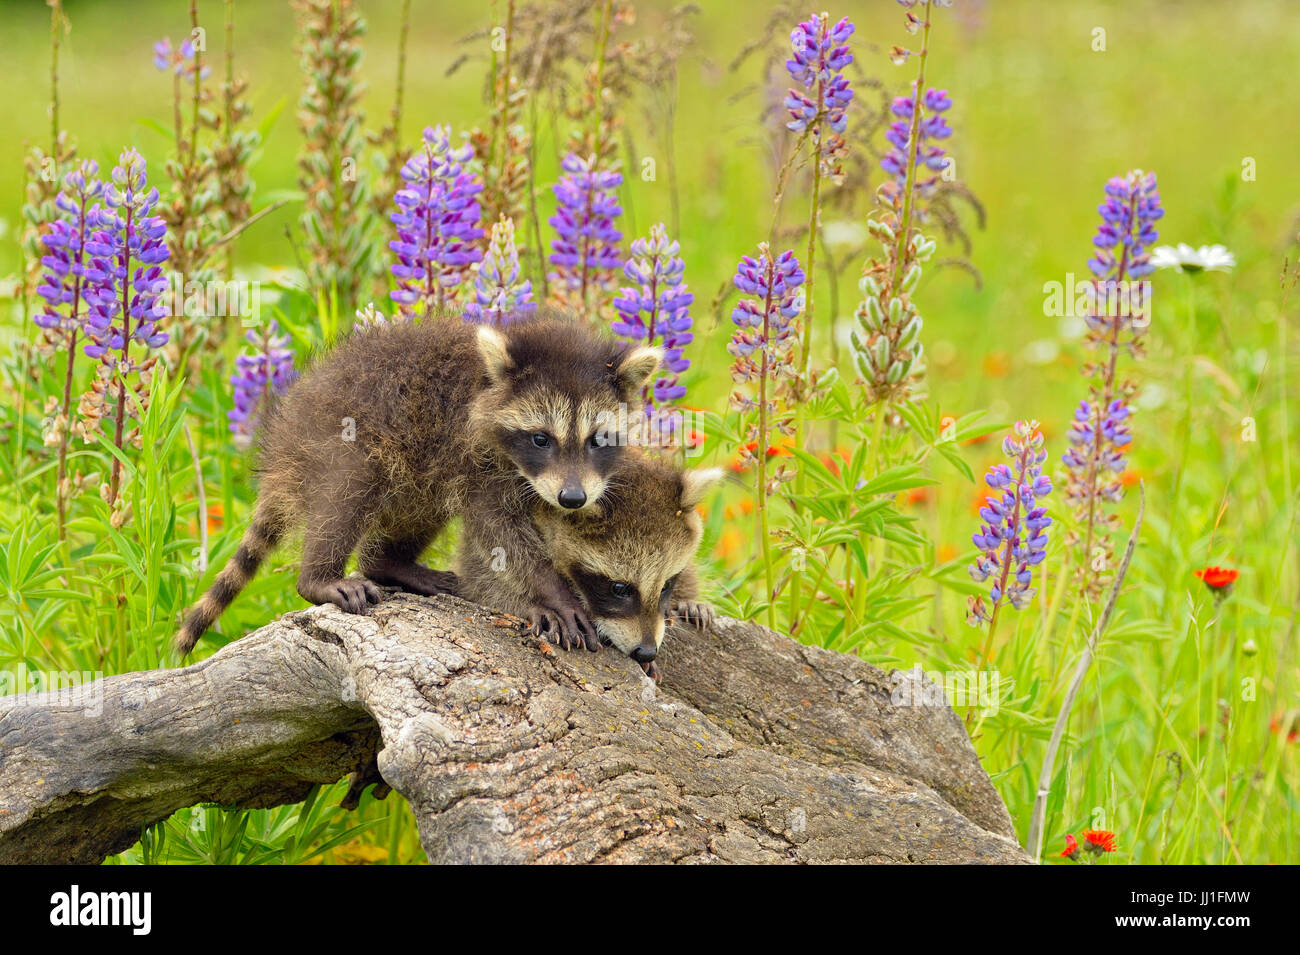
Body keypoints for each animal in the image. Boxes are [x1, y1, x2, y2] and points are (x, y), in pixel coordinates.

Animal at [173, 310, 662, 656]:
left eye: (598, 439)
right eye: (541, 438)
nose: (573, 498)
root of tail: (281, 446)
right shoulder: (481, 464)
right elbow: (501, 535)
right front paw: (554, 594)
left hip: (415, 469)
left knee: (419, 504)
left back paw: (388, 562)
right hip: (334, 444)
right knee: (348, 491)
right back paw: (319, 577)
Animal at [456, 451, 723, 680]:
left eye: (666, 584)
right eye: (619, 588)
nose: (647, 652)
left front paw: (688, 599)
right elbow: (483, 578)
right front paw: (526, 603)